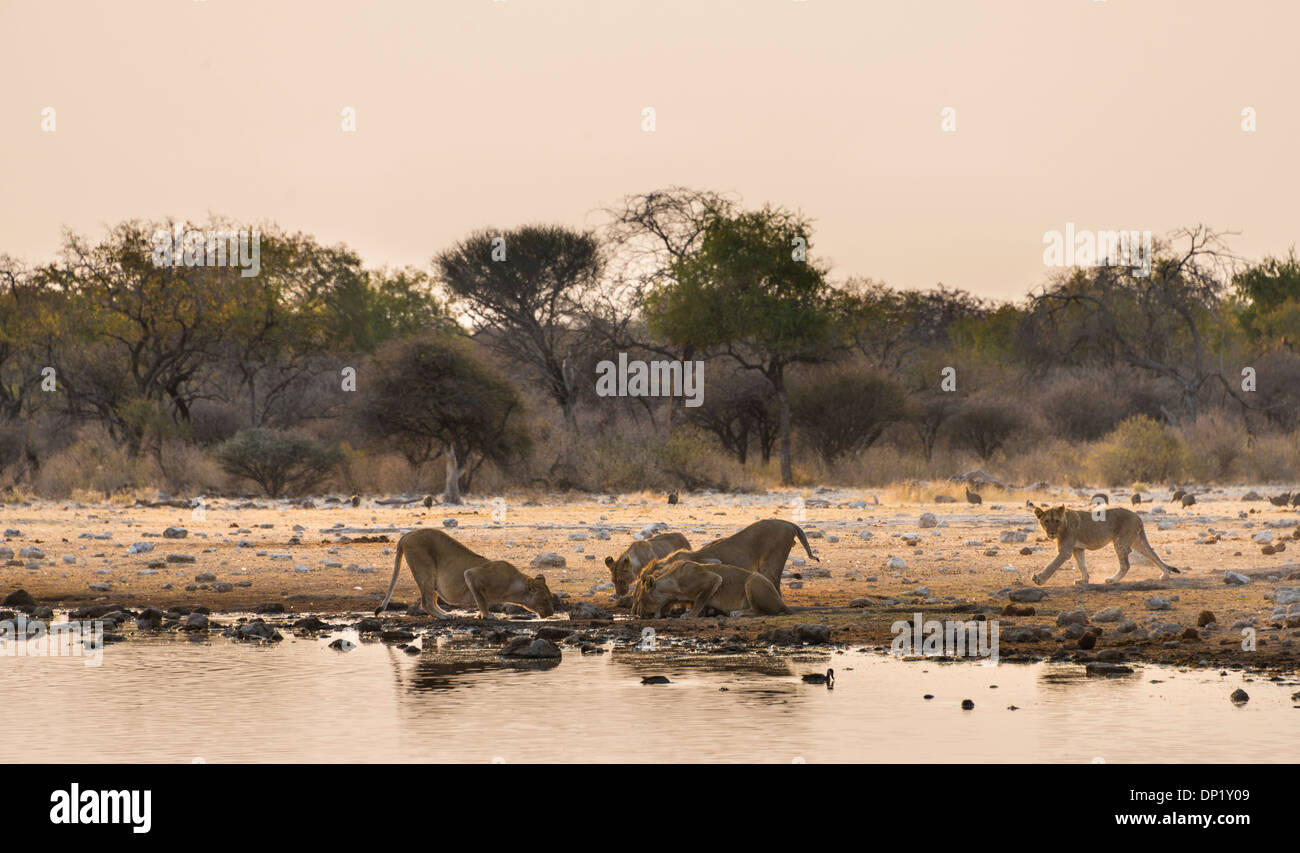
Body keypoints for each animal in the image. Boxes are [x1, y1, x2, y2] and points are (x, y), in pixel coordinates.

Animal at [374, 529, 554, 619]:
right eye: (545, 599)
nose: (552, 613)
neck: (514, 587)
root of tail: (406, 535)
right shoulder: (472, 575)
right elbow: (481, 600)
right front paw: (487, 616)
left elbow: (482, 600)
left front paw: (480, 615)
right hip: (425, 568)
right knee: (426, 603)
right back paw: (444, 617)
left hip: (433, 577)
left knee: (431, 599)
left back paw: (445, 613)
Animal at [631, 560, 789, 618]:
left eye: (640, 599)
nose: (639, 615)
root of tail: (782, 602)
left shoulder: (713, 579)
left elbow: (700, 600)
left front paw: (690, 615)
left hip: (753, 579)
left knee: (759, 611)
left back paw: (737, 613)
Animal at [1029, 503, 1181, 585]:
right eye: (1046, 521)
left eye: (1056, 521)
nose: (1051, 533)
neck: (1063, 525)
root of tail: (1137, 516)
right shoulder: (1077, 549)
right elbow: (1082, 565)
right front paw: (1084, 580)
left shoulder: (1066, 551)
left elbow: (1051, 565)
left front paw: (1039, 579)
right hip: (1136, 542)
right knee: (1153, 555)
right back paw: (1165, 575)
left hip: (1120, 542)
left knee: (1126, 565)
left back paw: (1112, 580)